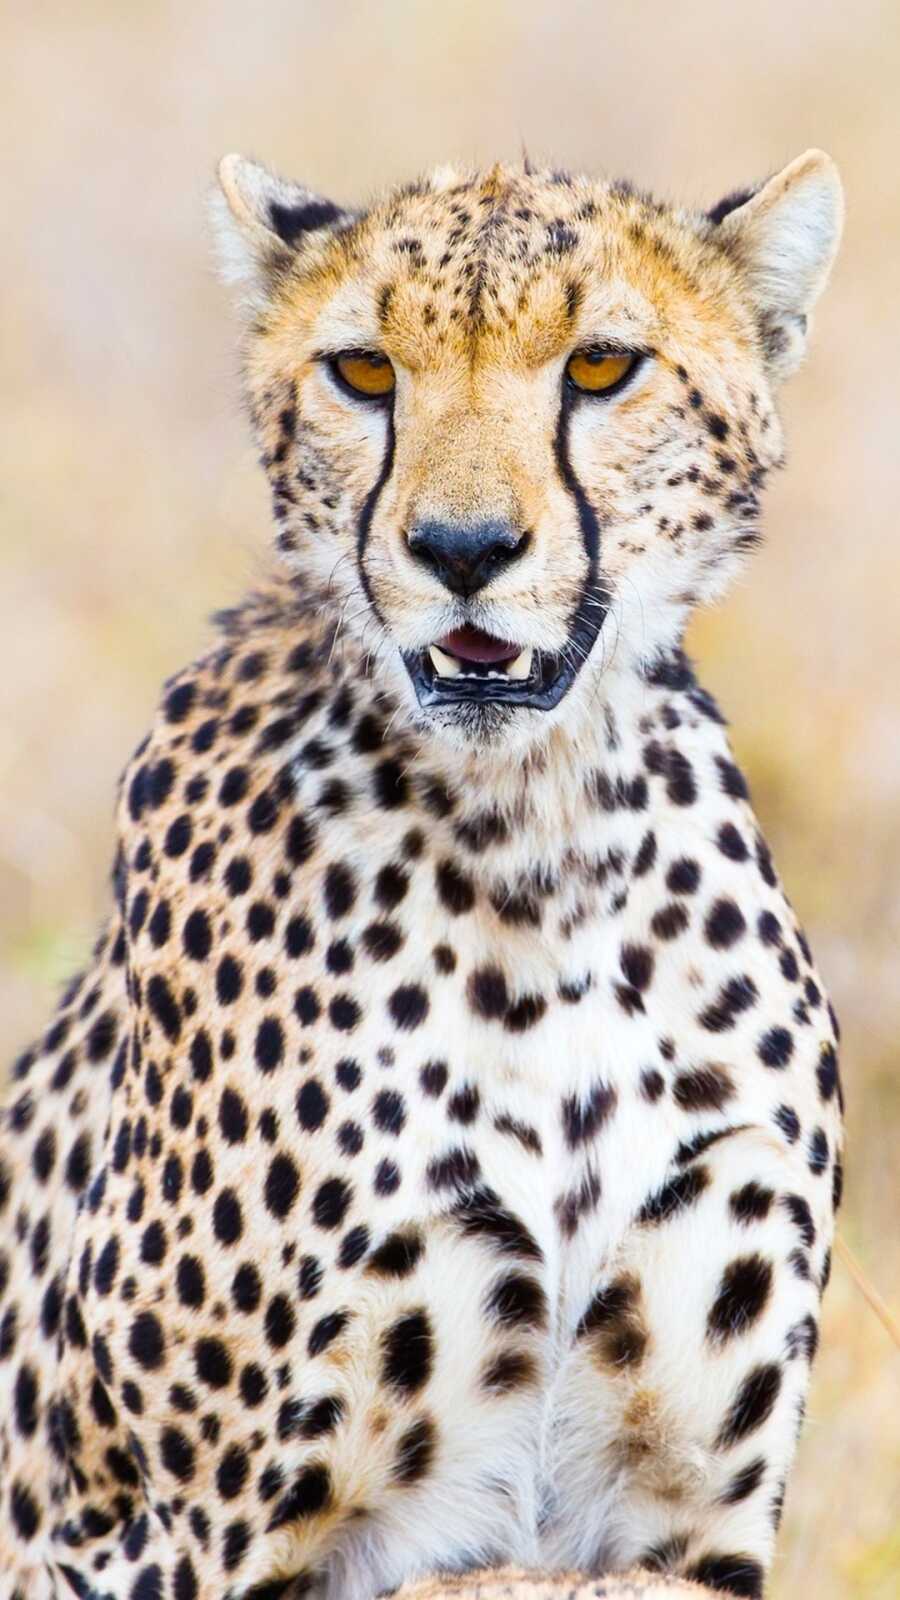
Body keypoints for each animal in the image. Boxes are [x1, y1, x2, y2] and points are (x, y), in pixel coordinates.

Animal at [0, 147, 845, 1600]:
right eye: (364, 372)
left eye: (602, 365)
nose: (461, 549)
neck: (542, 845)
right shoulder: (167, 1544)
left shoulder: (689, 1530)